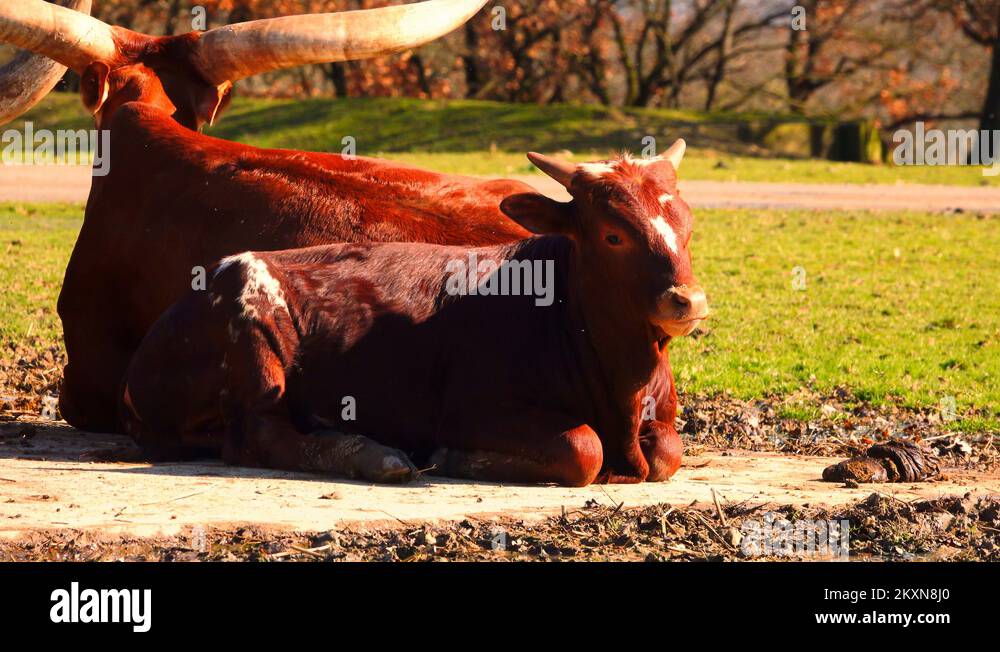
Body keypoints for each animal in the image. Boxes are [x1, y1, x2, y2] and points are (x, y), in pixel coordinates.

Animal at [120, 151, 708, 486]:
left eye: (688, 223)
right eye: (613, 234)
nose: (689, 301)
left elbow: (669, 452)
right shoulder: (476, 409)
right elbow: (584, 449)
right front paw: (454, 458)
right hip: (254, 328)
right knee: (258, 436)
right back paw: (374, 456)